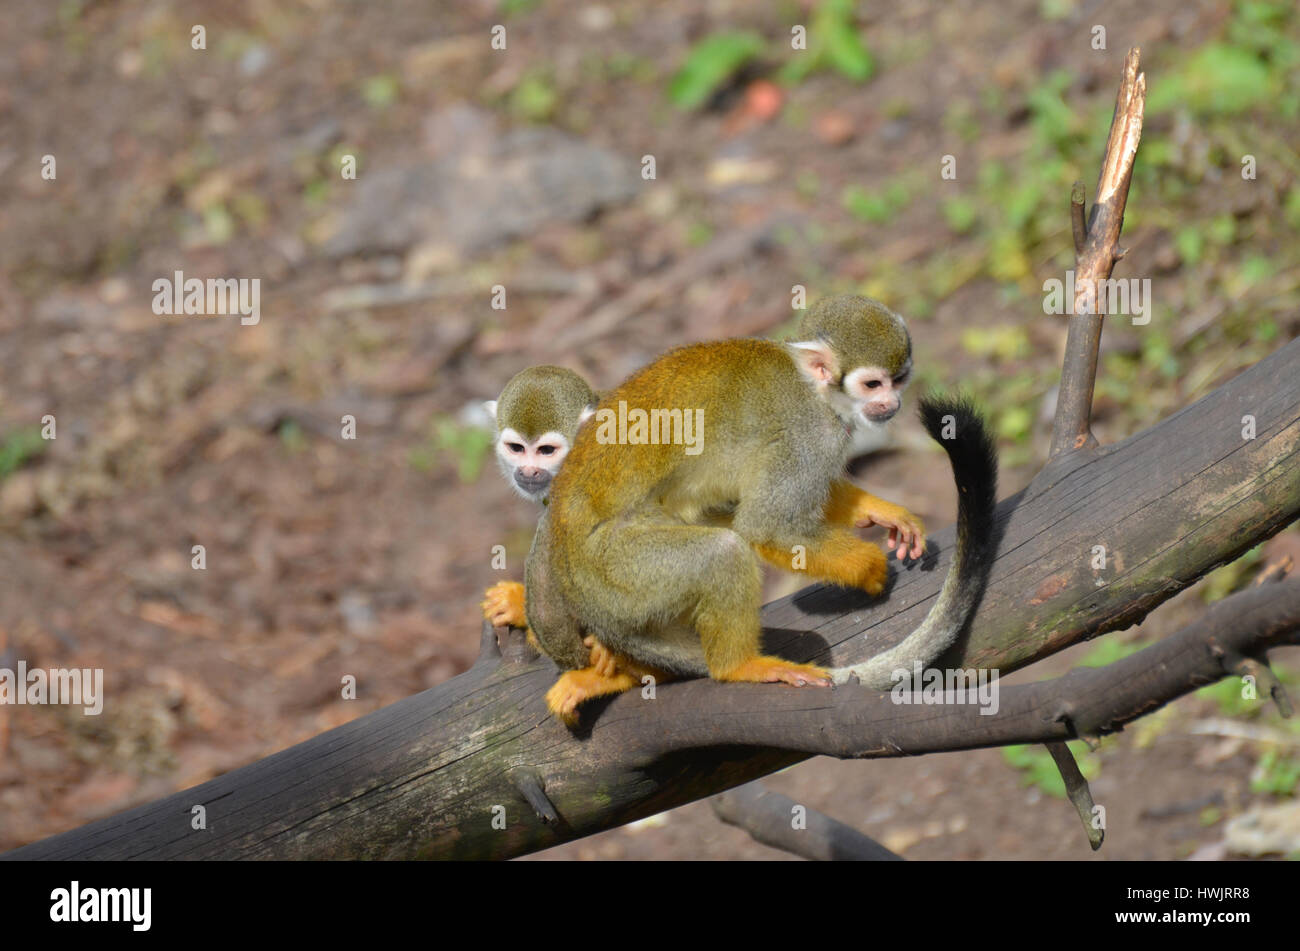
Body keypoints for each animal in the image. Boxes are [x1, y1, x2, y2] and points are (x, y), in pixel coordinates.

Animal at [526, 295, 998, 723]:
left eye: (898, 380)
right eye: (872, 385)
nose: (892, 404)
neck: (813, 388)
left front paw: (878, 510)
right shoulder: (812, 433)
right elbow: (764, 527)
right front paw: (867, 566)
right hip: (613, 572)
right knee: (722, 550)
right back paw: (739, 667)